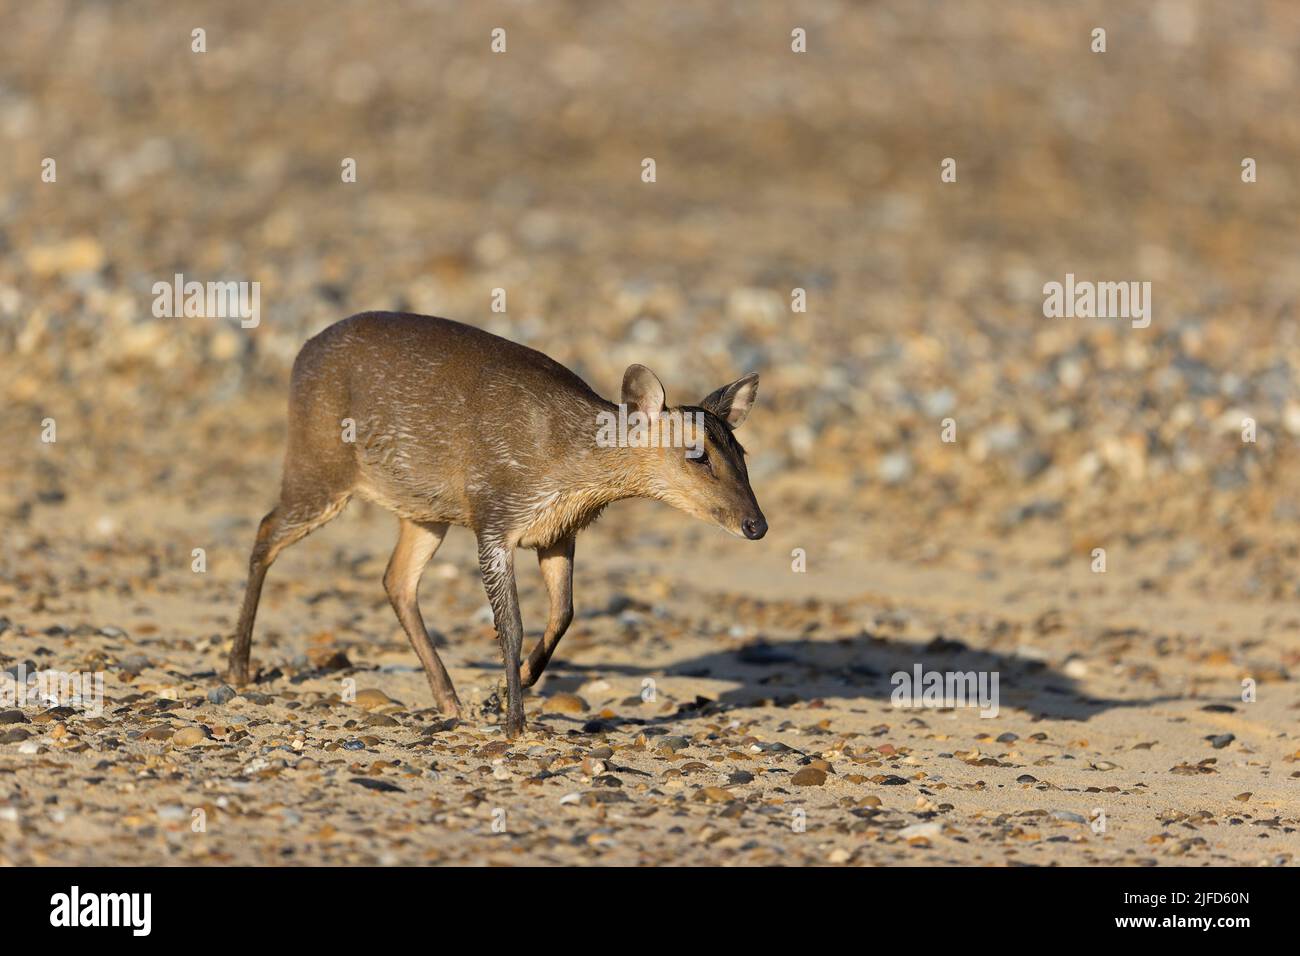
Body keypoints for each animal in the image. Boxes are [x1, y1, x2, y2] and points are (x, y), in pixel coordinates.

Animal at [226, 311, 767, 738]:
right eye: (696, 455)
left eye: (742, 452)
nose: (756, 525)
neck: (567, 466)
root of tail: (302, 352)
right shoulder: (493, 513)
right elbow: (511, 625)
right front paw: (515, 723)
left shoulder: (557, 531)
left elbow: (564, 613)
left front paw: (501, 695)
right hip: (319, 462)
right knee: (266, 531)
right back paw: (238, 669)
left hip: (423, 509)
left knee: (396, 580)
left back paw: (449, 699)